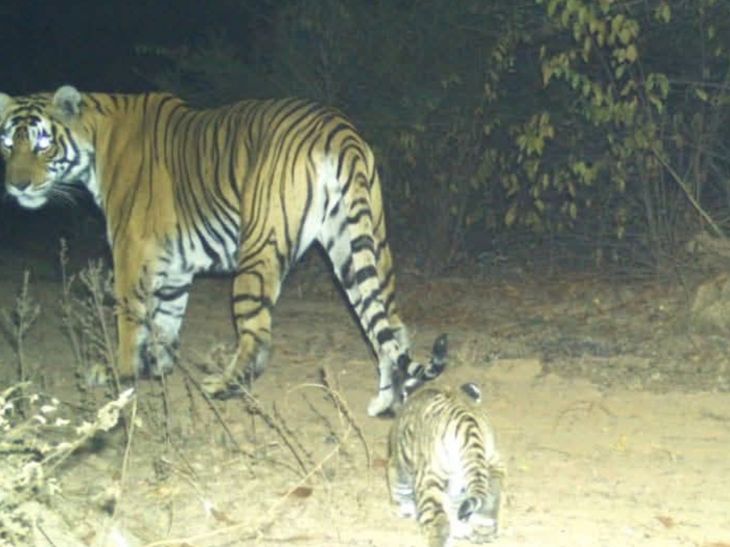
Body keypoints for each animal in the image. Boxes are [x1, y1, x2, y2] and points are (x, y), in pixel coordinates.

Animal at [0, 85, 445, 415]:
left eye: (42, 145)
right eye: (6, 145)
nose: (16, 185)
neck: (96, 135)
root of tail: (340, 132)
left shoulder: (130, 250)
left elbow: (129, 318)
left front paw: (120, 373)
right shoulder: (174, 266)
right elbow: (166, 320)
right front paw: (156, 366)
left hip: (260, 247)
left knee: (257, 334)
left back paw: (222, 386)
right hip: (360, 244)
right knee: (391, 326)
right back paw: (387, 404)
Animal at [388, 364, 504, 546]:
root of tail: (464, 417)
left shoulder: (397, 464)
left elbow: (399, 488)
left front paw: (404, 510)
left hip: (430, 477)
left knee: (437, 522)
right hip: (491, 464)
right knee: (487, 504)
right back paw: (483, 532)